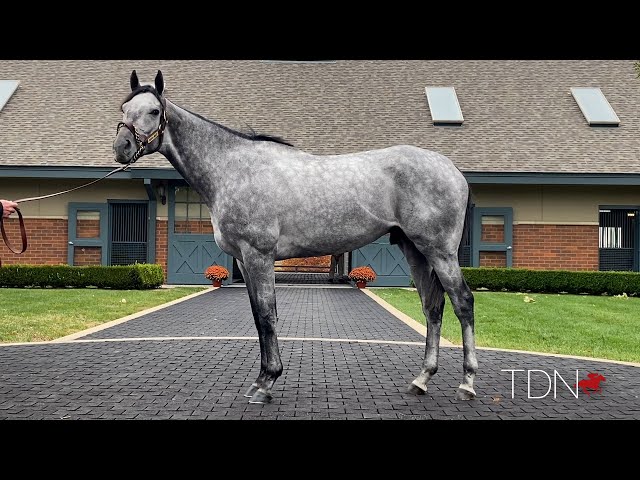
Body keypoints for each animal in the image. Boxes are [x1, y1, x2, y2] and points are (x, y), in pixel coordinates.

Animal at [113, 69, 477, 405]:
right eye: (124, 107)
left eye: (153, 111)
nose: (121, 147)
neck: (233, 169)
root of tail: (453, 172)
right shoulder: (243, 261)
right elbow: (258, 317)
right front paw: (263, 378)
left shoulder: (258, 255)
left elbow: (267, 313)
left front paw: (266, 382)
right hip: (414, 249)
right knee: (432, 305)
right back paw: (421, 379)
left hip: (439, 251)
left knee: (462, 302)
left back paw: (467, 383)